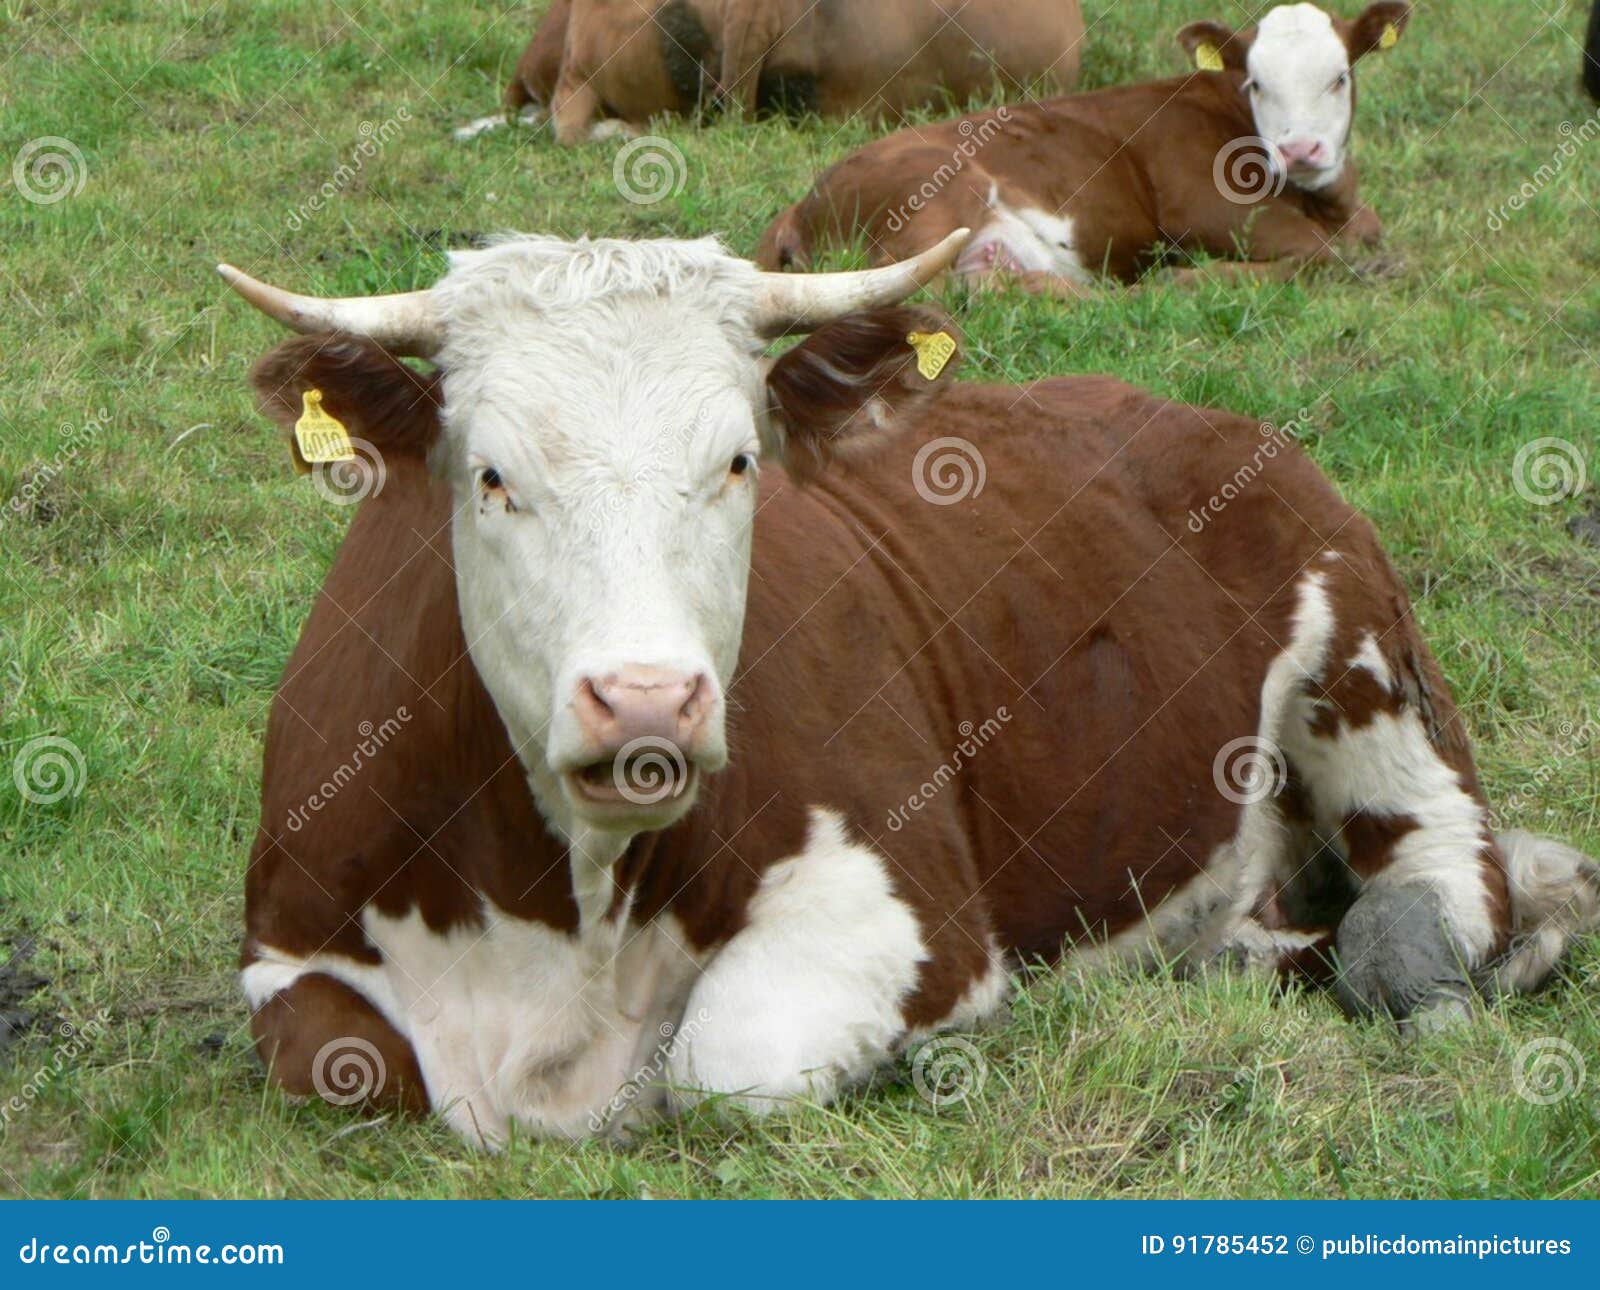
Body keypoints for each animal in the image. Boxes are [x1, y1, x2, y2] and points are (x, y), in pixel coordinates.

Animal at [219, 229, 1599, 1146]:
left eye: (738, 461)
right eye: (494, 475)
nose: (649, 702)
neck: (567, 910)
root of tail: (1177, 413)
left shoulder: (910, 909)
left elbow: (727, 1061)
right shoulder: (289, 945)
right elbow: (346, 1059)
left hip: (1372, 676)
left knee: (1438, 892)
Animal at [759, 2, 1411, 298]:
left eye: (1340, 78)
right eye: (1256, 83)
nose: (1300, 149)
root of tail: (798, 206)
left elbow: (1366, 232)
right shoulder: (1206, 202)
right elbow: (1323, 252)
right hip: (938, 192)